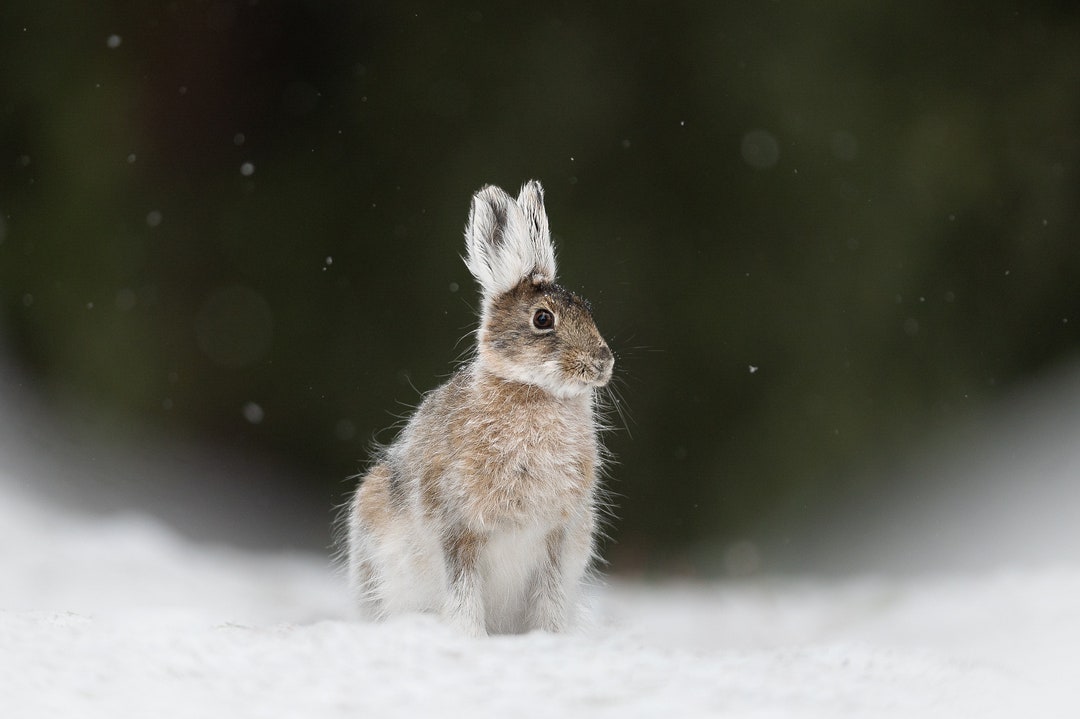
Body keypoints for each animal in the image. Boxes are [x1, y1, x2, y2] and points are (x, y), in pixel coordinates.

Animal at [344, 180, 614, 636]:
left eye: (587, 310)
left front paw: (548, 639)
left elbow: (549, 597)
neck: (532, 391)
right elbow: (463, 594)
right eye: (543, 319)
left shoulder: (555, 540)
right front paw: (469, 638)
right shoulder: (458, 531)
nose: (603, 363)